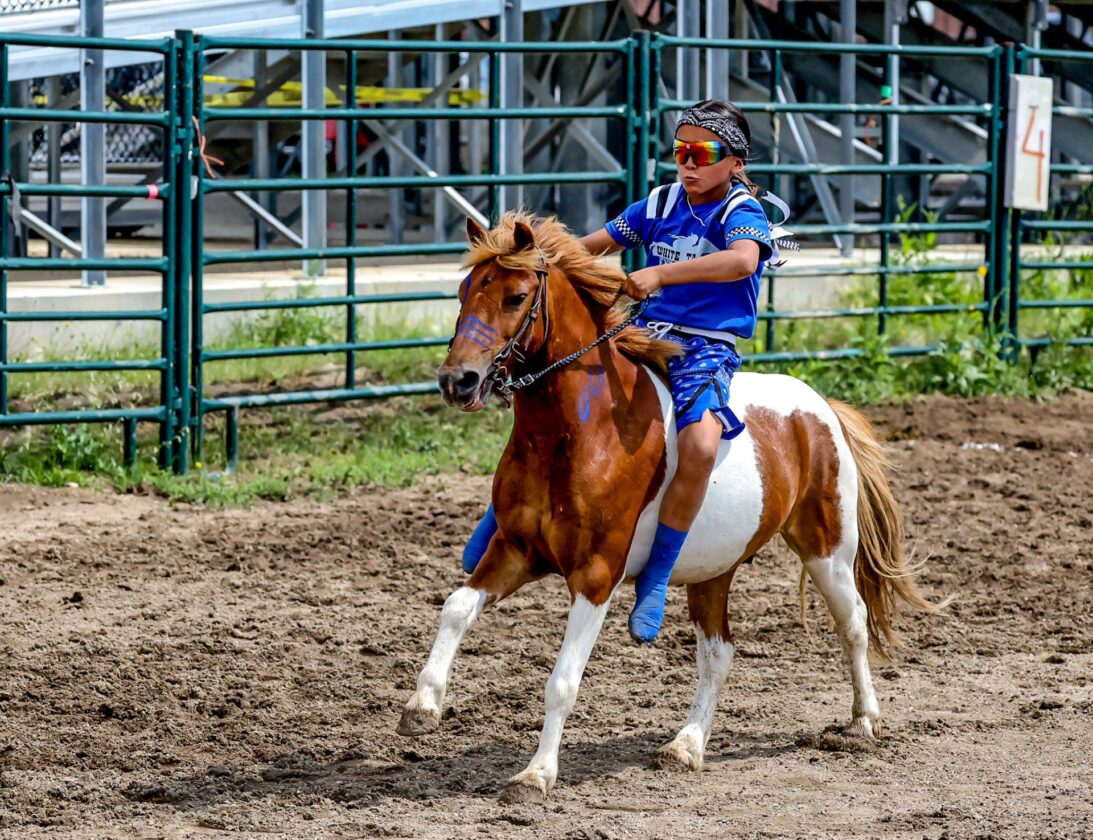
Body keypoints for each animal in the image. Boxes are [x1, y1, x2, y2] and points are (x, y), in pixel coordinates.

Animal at [397, 212, 934, 804]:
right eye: (465, 290)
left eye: (516, 297)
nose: (457, 380)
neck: (579, 432)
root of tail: (821, 409)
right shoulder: (515, 550)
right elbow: (456, 607)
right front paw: (423, 706)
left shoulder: (596, 574)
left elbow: (562, 681)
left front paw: (536, 774)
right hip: (713, 571)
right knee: (719, 653)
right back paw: (686, 744)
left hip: (827, 549)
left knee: (853, 623)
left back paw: (863, 721)